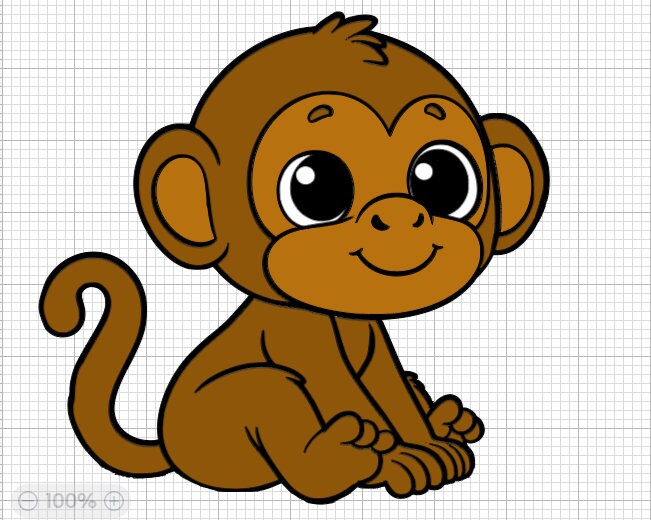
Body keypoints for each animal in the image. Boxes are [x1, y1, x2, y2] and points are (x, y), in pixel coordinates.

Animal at [40, 13, 549, 504]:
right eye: (315, 184)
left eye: (444, 177)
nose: (401, 214)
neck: (339, 316)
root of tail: (170, 448)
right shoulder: (300, 338)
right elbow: (345, 392)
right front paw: (403, 460)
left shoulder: (374, 342)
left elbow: (391, 391)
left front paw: (427, 443)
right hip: (239, 408)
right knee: (276, 396)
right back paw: (338, 460)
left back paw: (444, 415)